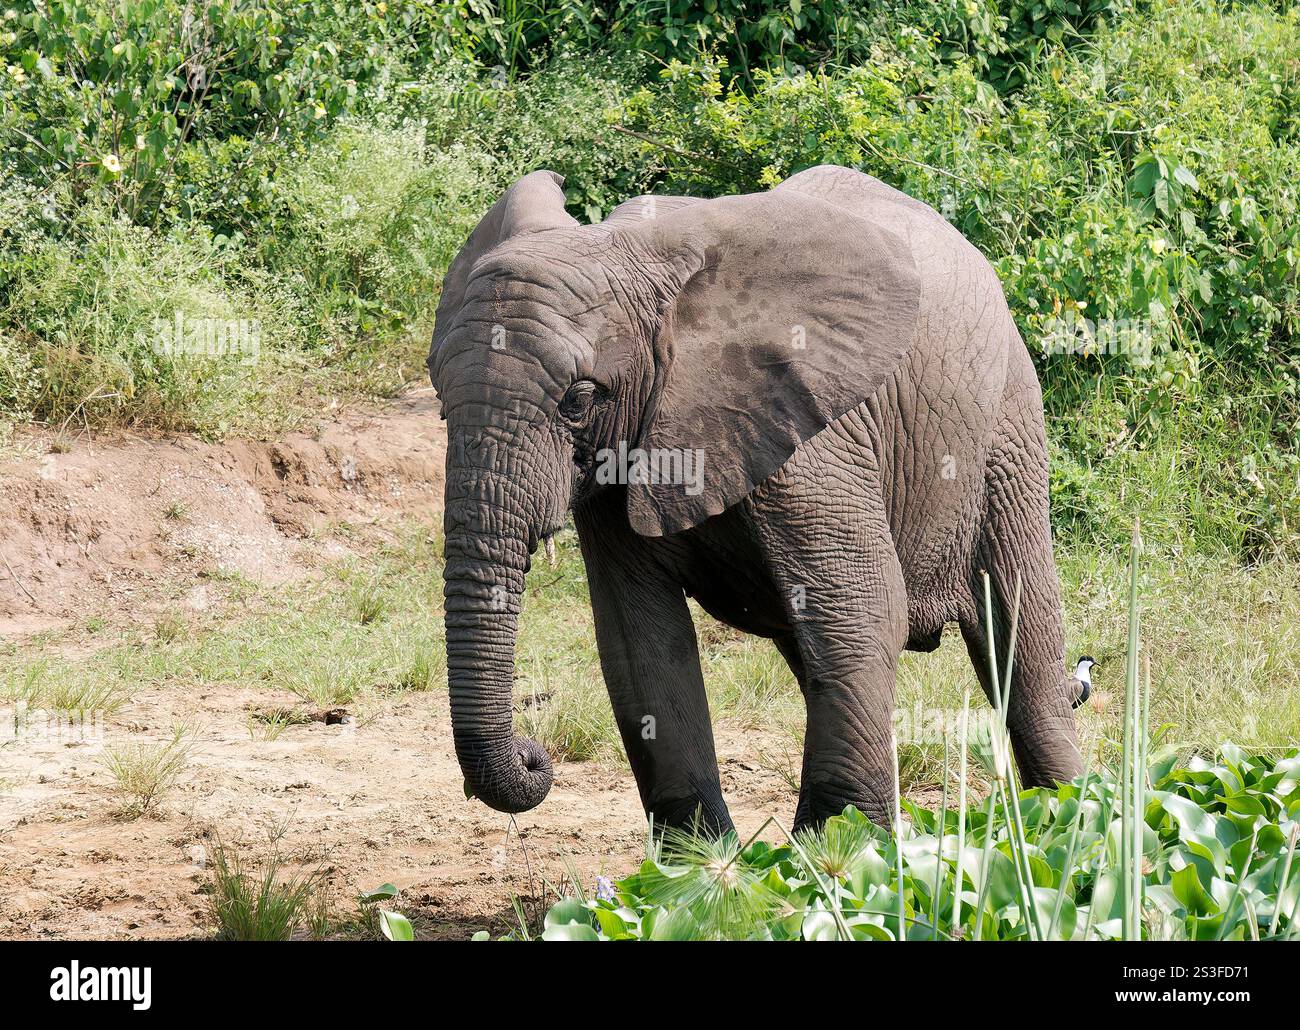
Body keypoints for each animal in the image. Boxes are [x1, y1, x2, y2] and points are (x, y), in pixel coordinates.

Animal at [427, 164, 1084, 834]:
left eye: (579, 401)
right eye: (441, 402)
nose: (535, 758)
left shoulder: (814, 434)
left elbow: (863, 606)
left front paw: (834, 848)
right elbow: (639, 640)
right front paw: (703, 858)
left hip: (1007, 419)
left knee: (1020, 628)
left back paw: (1069, 816)